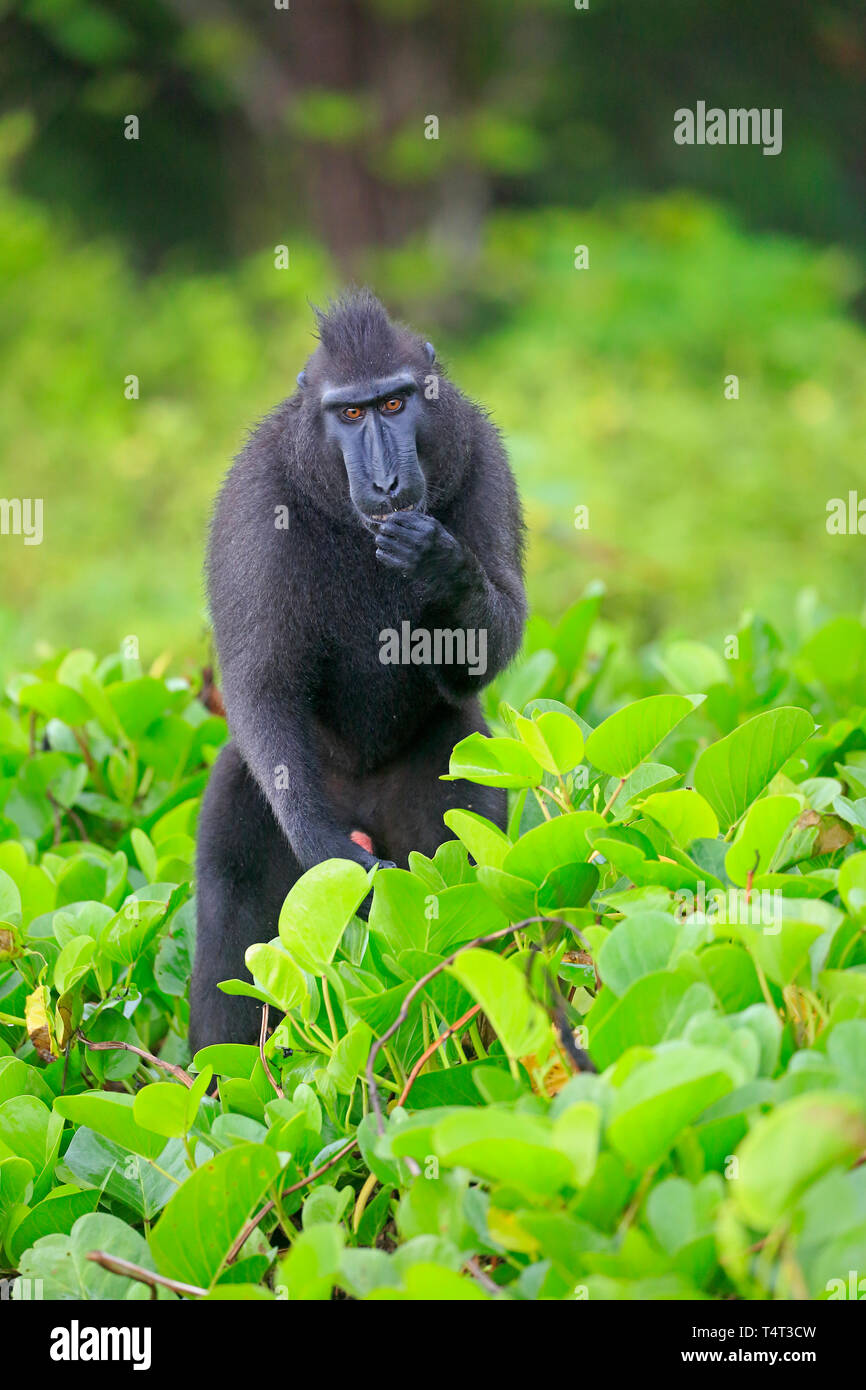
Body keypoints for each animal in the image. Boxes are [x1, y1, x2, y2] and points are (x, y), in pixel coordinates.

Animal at [188, 290, 526, 1051]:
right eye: (349, 413)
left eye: (395, 404)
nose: (387, 481)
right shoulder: (254, 499)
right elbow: (261, 683)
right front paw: (319, 840)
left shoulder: (485, 458)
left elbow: (488, 645)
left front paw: (445, 570)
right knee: (231, 903)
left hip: (442, 796)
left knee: (464, 864)